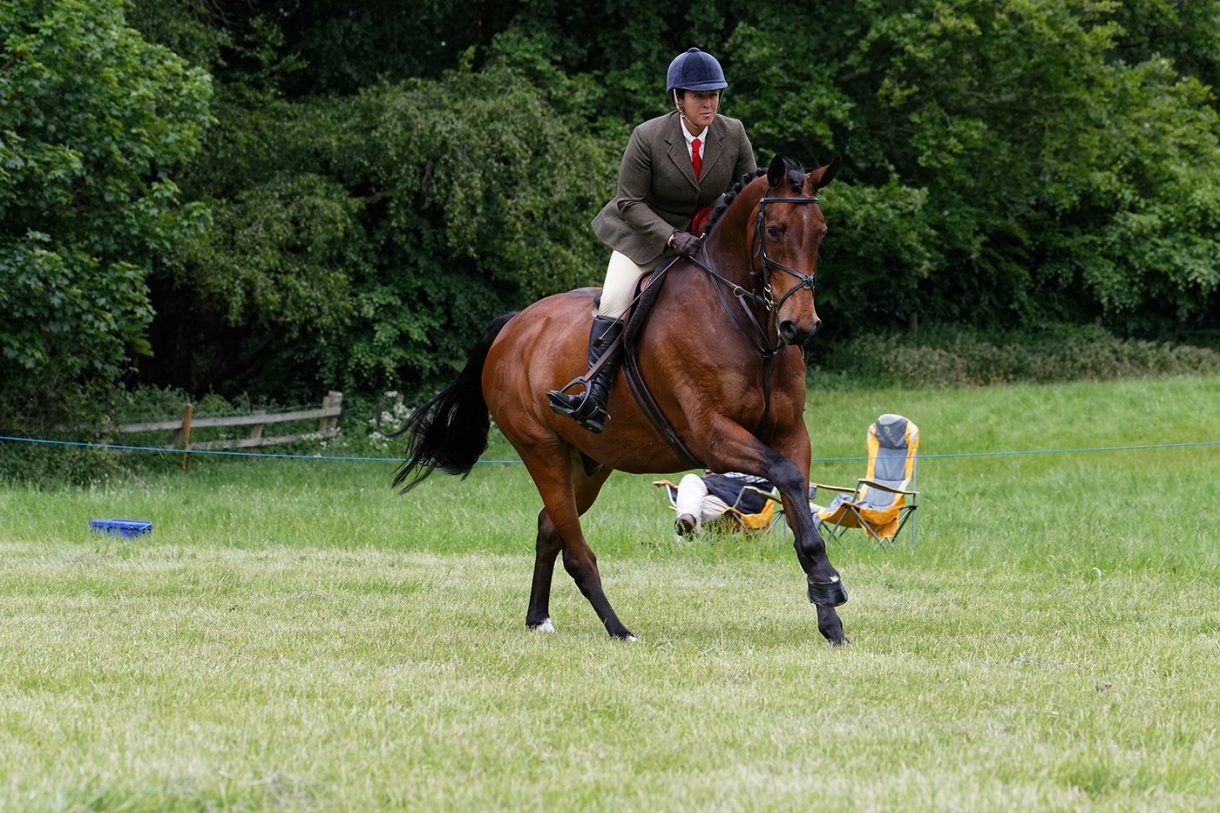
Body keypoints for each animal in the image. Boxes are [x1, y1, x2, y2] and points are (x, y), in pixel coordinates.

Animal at [393, 154, 848, 644]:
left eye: (821, 233)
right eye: (776, 230)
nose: (799, 327)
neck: (747, 326)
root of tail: (514, 326)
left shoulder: (790, 434)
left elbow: (797, 497)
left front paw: (829, 613)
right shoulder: (711, 436)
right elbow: (785, 477)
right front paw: (828, 586)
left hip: (591, 462)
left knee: (550, 527)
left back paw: (539, 618)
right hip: (542, 450)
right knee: (575, 550)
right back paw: (618, 628)